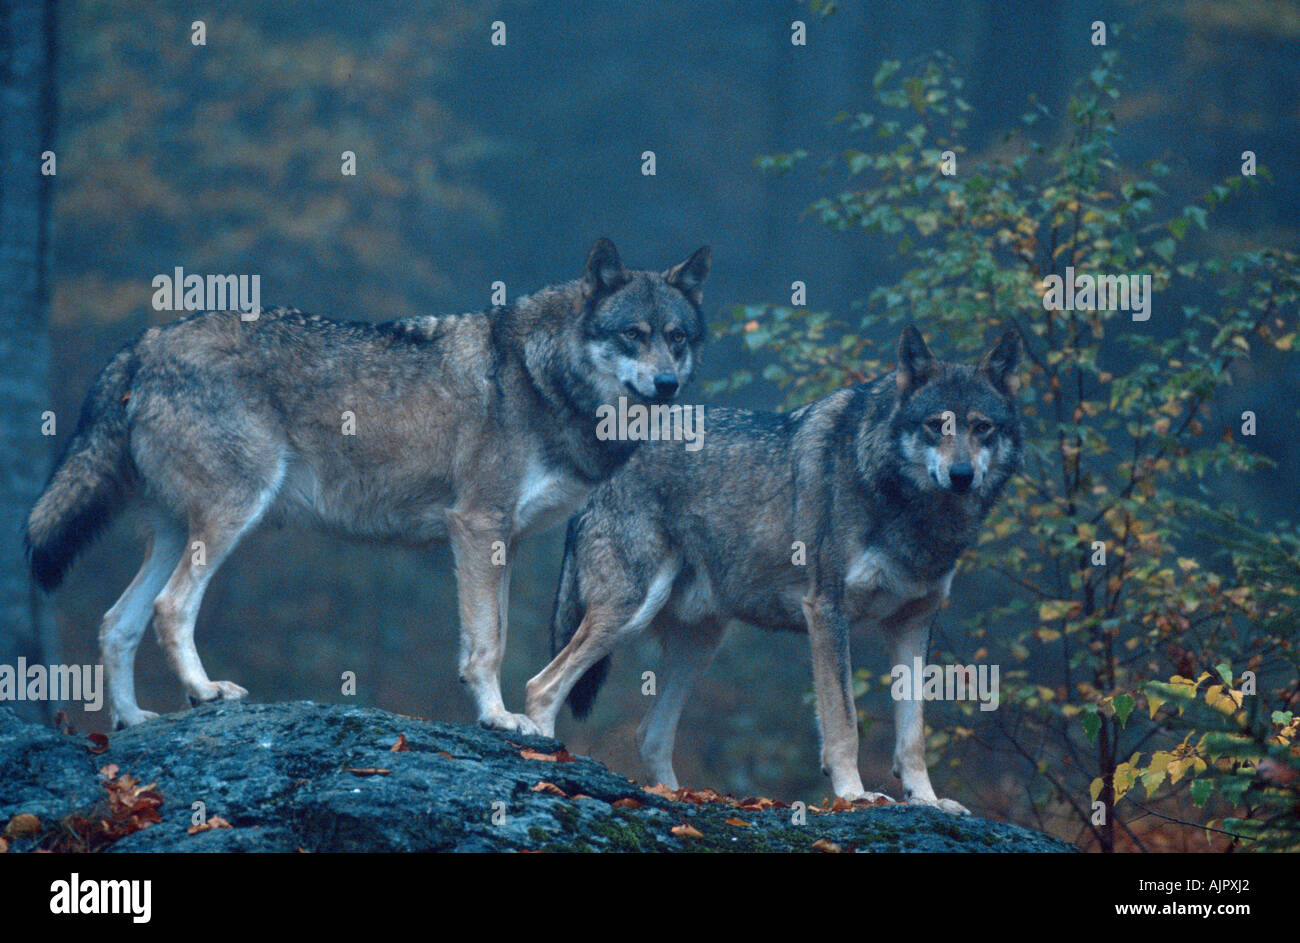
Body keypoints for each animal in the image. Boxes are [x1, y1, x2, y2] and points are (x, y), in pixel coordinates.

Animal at [26, 238, 711, 733]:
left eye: (677, 338)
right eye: (632, 335)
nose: (667, 385)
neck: (541, 377)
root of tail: (148, 340)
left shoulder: (502, 541)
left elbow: (488, 637)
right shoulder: (476, 526)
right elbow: (488, 645)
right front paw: (499, 719)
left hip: (178, 530)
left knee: (118, 621)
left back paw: (133, 720)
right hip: (231, 515)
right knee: (170, 608)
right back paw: (204, 692)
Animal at [525, 326, 1022, 812]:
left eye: (982, 427)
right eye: (936, 425)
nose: (962, 475)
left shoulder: (913, 623)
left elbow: (913, 734)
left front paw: (928, 800)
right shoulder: (826, 610)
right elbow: (843, 722)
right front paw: (853, 795)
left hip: (701, 641)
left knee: (650, 734)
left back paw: (675, 796)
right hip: (632, 612)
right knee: (541, 688)